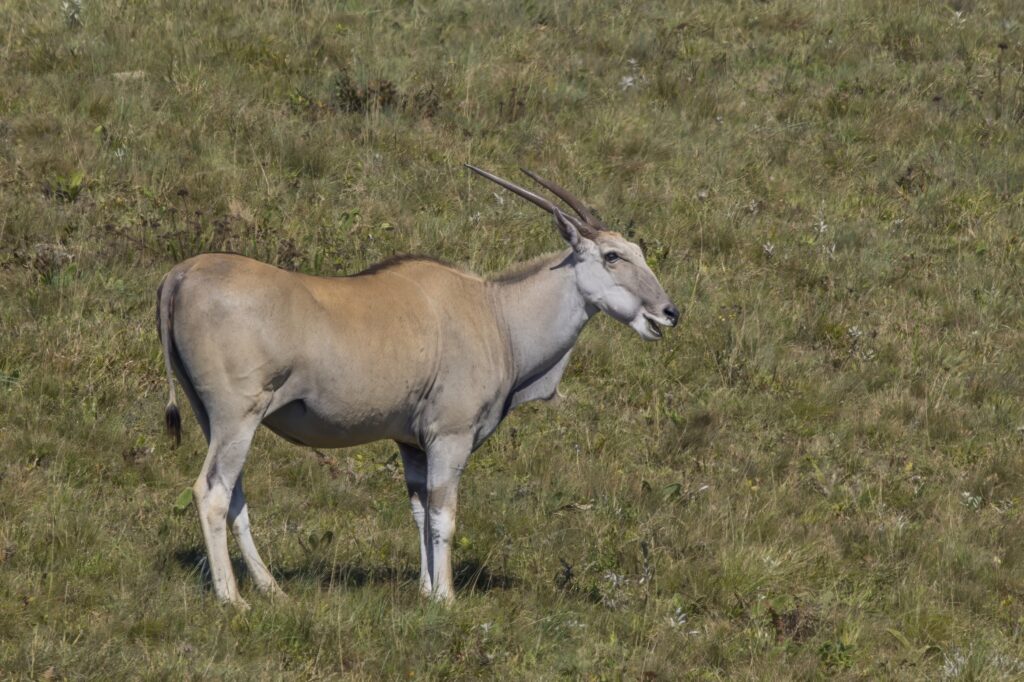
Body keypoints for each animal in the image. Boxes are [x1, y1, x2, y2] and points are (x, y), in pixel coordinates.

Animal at [157, 165, 678, 606]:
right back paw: (233, 598)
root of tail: (182, 273)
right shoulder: (450, 438)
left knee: (234, 495)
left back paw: (270, 588)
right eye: (613, 256)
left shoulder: (411, 444)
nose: (668, 313)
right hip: (237, 418)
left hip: (216, 421)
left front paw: (426, 590)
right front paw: (445, 598)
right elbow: (444, 515)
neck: (495, 313)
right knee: (212, 493)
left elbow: (420, 512)